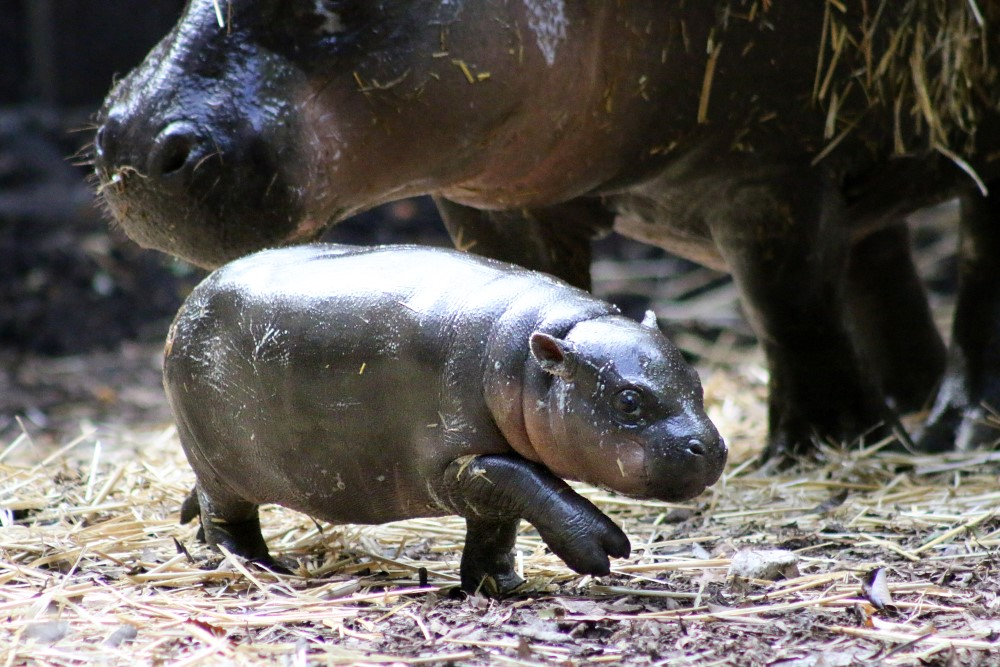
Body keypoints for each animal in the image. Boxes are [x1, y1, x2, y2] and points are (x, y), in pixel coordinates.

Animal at [94, 0, 1000, 456]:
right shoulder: (493, 200)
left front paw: (832, 445)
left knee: (973, 268)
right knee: (880, 258)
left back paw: (952, 429)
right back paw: (916, 401)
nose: (132, 140)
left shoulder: (769, 170)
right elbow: (528, 289)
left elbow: (789, 305)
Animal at [166, 244, 728, 596]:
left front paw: (507, 588)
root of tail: (191, 297)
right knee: (227, 515)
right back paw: (257, 567)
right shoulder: (458, 464)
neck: (533, 358)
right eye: (628, 400)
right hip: (218, 464)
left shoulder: (491, 465)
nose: (711, 448)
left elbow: (497, 526)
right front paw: (604, 550)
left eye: (696, 380)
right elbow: (531, 485)